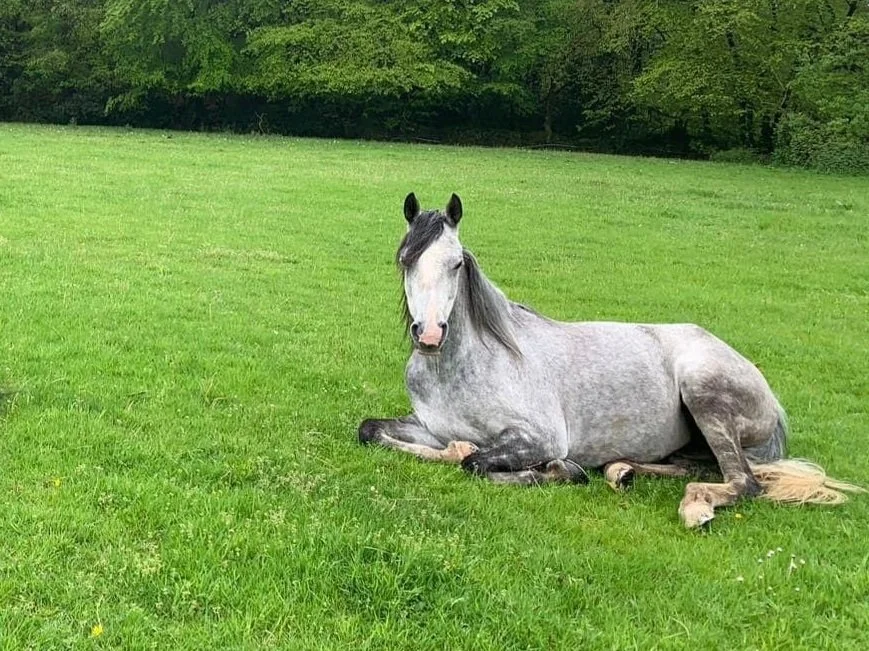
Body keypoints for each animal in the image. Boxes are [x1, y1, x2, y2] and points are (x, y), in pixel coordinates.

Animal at [358, 193, 863, 528]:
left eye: (457, 263)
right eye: (405, 260)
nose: (429, 334)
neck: (463, 367)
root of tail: (771, 399)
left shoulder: (541, 438)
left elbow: (479, 465)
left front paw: (560, 471)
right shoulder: (428, 426)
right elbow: (372, 432)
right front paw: (458, 448)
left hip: (704, 392)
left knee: (743, 482)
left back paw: (694, 506)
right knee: (696, 466)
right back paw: (621, 472)